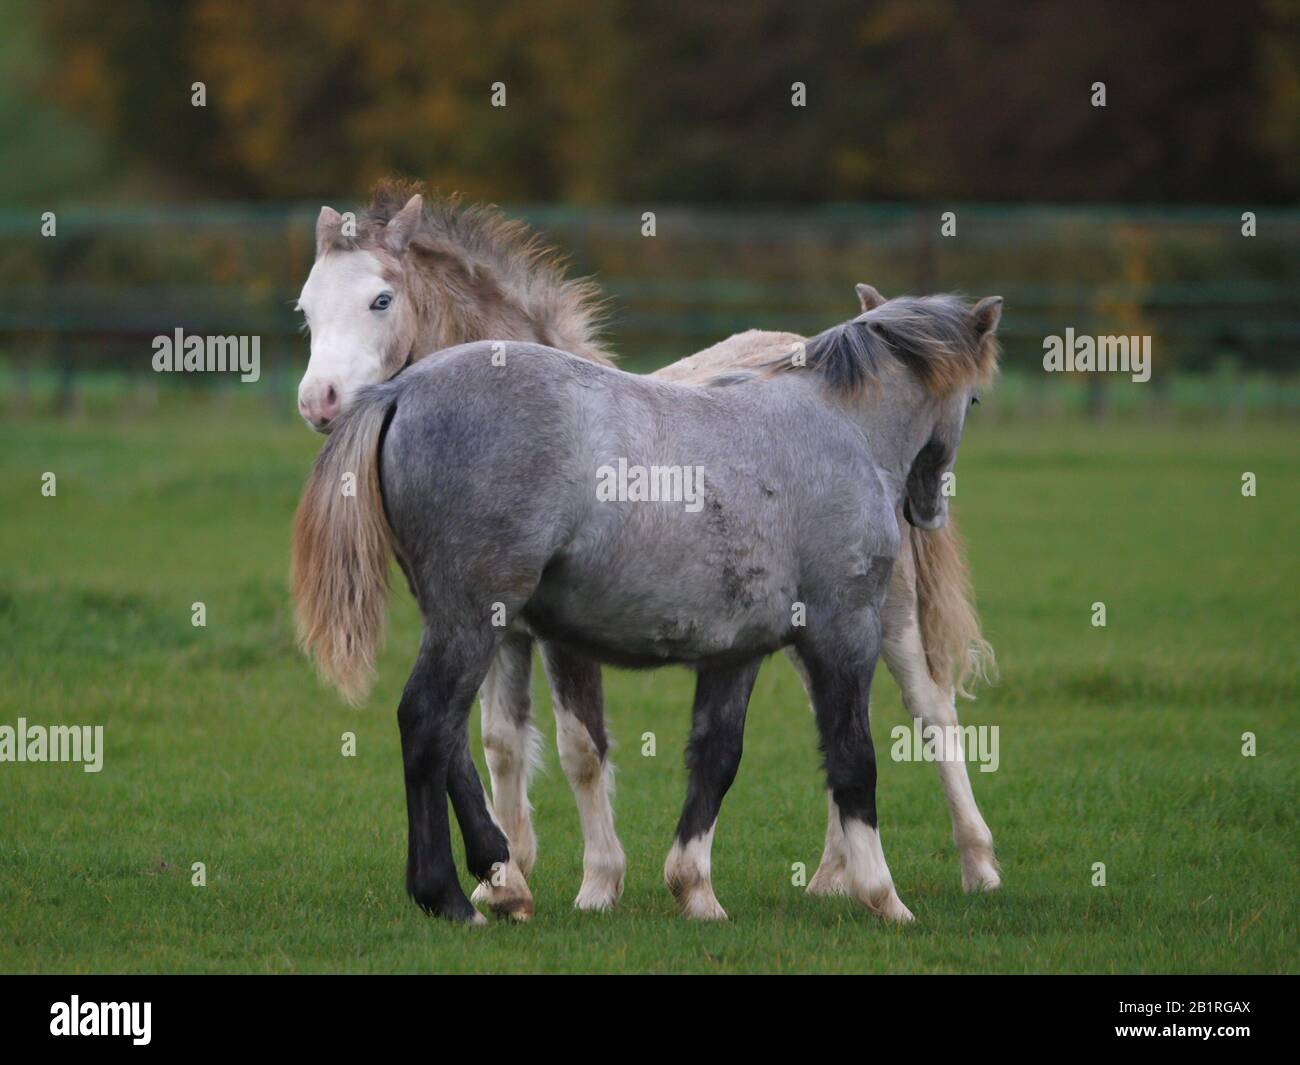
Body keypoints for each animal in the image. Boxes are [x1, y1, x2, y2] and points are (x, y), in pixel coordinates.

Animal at [293, 181, 1001, 916]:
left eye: (381, 299)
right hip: (472, 621)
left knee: (932, 713)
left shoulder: (728, 645)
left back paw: (953, 865)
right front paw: (880, 894)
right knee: (428, 722)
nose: (320, 403)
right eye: (308, 311)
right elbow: (848, 755)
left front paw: (633, 884)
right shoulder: (835, 630)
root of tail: (401, 388)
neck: (836, 423)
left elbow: (705, 753)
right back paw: (451, 893)